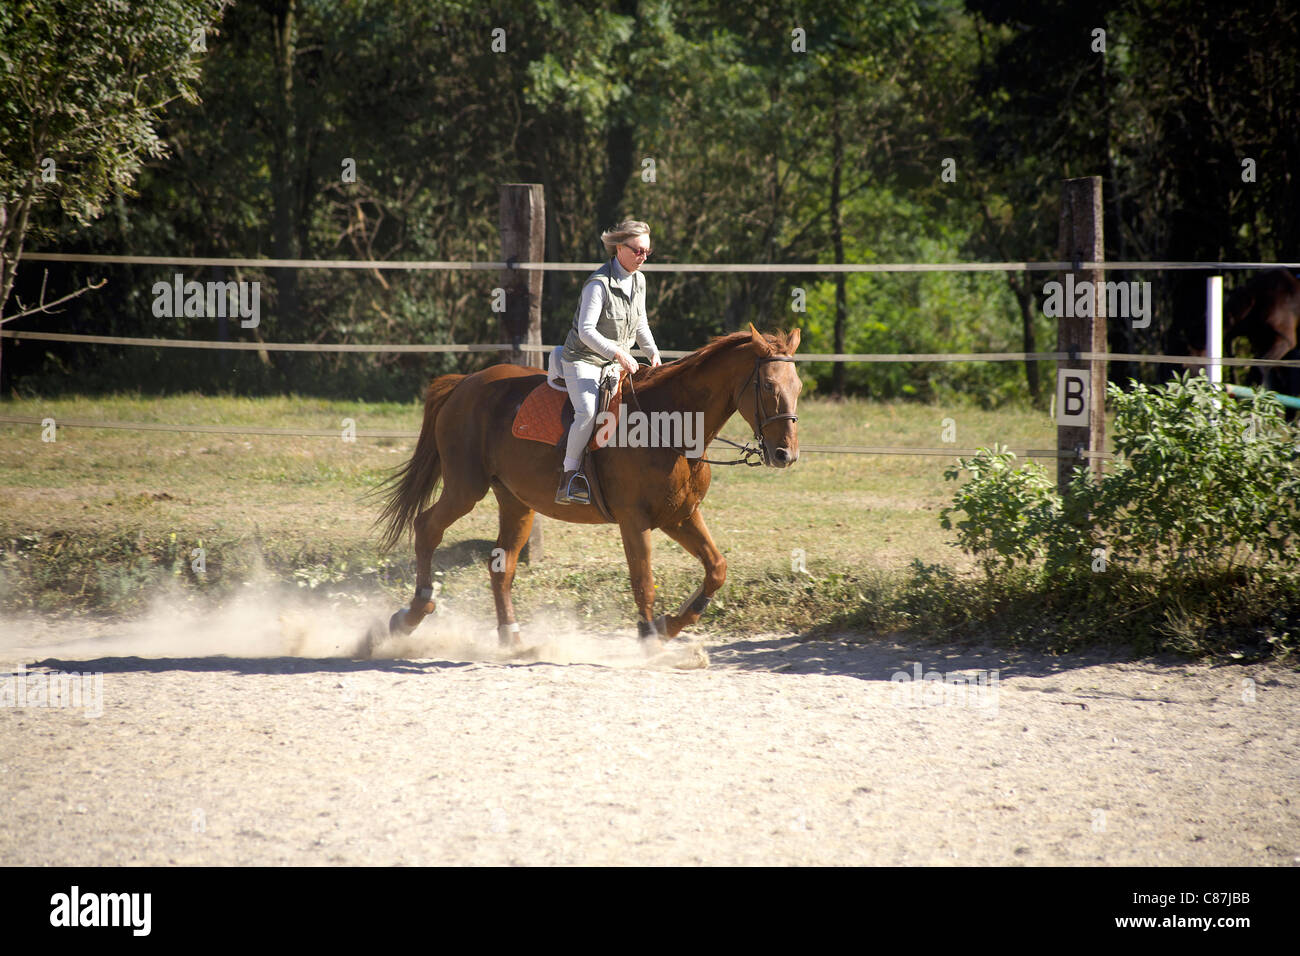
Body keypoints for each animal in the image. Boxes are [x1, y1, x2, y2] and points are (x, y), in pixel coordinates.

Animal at [372, 324, 802, 648]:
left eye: (797, 386)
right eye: (767, 386)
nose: (786, 454)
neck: (667, 425)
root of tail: (464, 383)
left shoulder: (680, 516)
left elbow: (716, 568)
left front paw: (669, 626)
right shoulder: (634, 520)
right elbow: (643, 581)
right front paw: (650, 638)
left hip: (516, 501)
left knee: (501, 563)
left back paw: (511, 639)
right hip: (466, 487)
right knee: (428, 527)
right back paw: (412, 614)